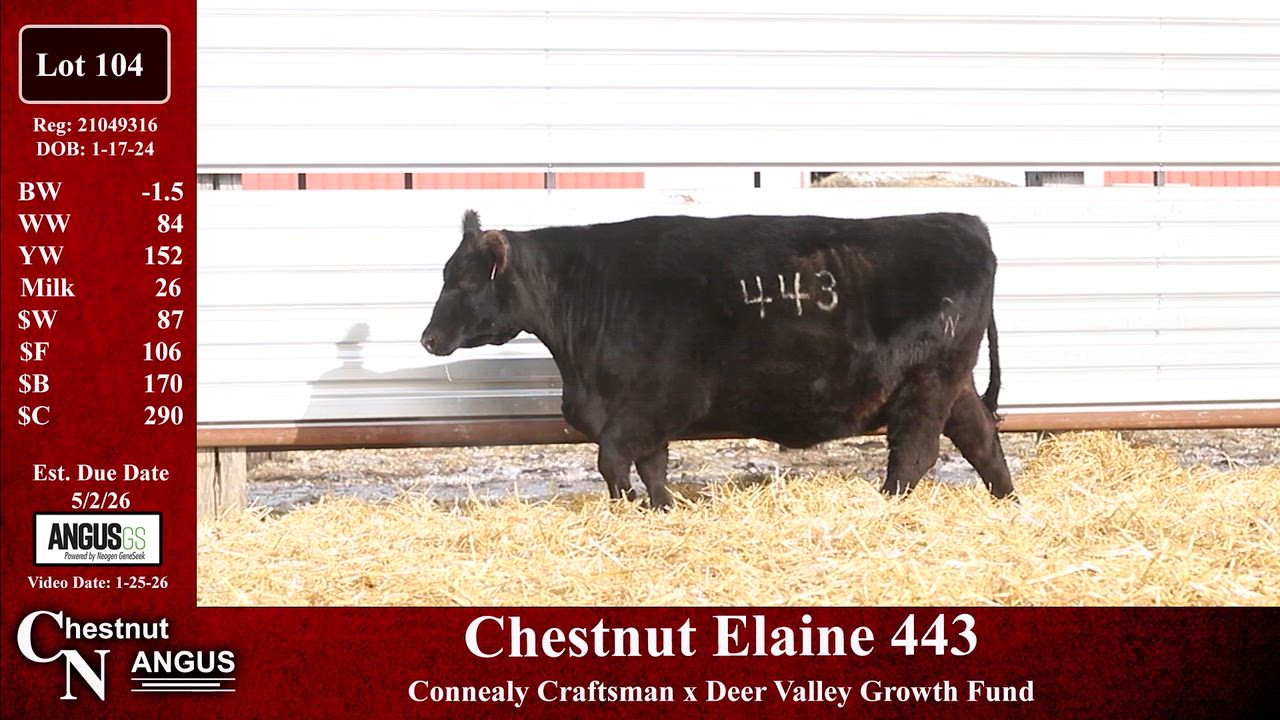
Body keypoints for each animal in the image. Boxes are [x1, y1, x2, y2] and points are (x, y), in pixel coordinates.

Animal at [422, 210, 1014, 510]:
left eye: (465, 281)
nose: (428, 339)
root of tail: (963, 222)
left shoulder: (650, 405)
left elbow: (613, 461)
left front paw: (631, 507)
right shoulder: (640, 414)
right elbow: (651, 465)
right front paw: (664, 507)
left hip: (926, 380)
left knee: (915, 453)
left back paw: (885, 505)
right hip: (952, 382)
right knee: (980, 435)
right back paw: (1008, 502)